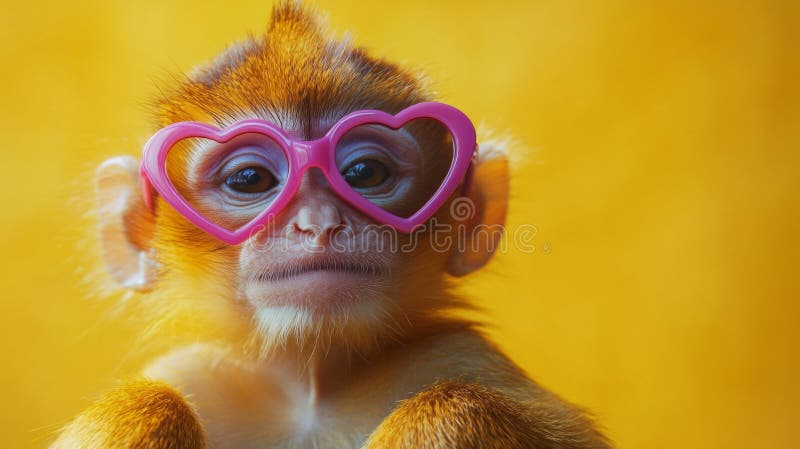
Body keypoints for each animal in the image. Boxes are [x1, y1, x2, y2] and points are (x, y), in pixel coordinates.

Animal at [50, 3, 612, 449]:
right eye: (250, 179)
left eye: (365, 173)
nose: (318, 224)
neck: (312, 389)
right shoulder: (192, 372)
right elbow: (144, 403)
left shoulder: (465, 358)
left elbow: (461, 404)